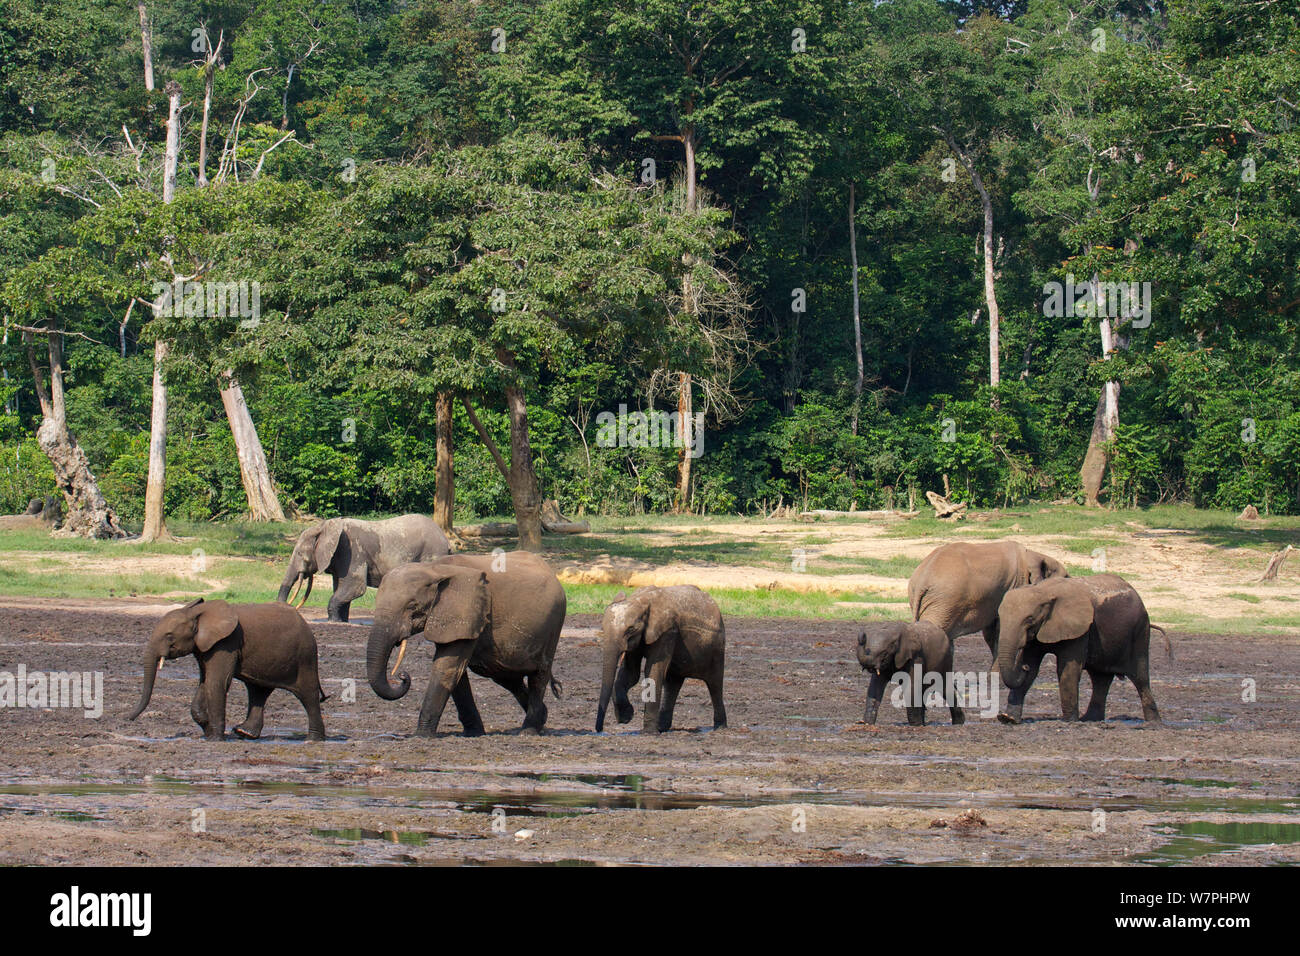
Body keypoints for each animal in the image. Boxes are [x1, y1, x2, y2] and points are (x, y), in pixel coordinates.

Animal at [128, 598, 326, 741]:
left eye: (169, 636)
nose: (127, 719)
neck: (196, 613)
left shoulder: (226, 643)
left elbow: (217, 682)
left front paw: (215, 739)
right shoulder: (205, 647)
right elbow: (205, 681)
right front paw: (207, 730)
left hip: (305, 657)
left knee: (307, 694)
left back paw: (313, 739)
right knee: (258, 691)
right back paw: (244, 733)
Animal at [278, 514, 450, 623]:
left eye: (300, 553)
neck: (324, 526)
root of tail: (446, 540)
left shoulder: (353, 551)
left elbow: (355, 586)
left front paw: (333, 621)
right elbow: (340, 587)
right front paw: (341, 621)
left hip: (432, 554)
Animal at [366, 551, 566, 736]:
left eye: (412, 607)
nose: (402, 676)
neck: (434, 569)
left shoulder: (467, 612)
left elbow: (447, 667)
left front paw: (421, 736)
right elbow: (456, 672)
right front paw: (474, 733)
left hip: (553, 624)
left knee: (538, 675)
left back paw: (528, 731)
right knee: (506, 676)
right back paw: (542, 719)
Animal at [595, 585, 726, 735]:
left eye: (631, 629)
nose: (599, 730)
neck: (640, 600)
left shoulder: (667, 632)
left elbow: (652, 672)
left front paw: (648, 733)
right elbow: (631, 673)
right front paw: (626, 717)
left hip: (717, 649)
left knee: (714, 684)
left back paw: (720, 728)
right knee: (672, 683)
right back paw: (662, 728)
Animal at [994, 574, 1167, 724]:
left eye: (1029, 619)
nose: (1023, 668)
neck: (1044, 591)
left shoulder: (1080, 629)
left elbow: (1067, 669)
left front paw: (1069, 722)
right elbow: (1032, 668)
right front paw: (1008, 719)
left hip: (1140, 632)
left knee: (1140, 678)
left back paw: (1153, 724)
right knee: (1100, 679)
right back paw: (1090, 719)